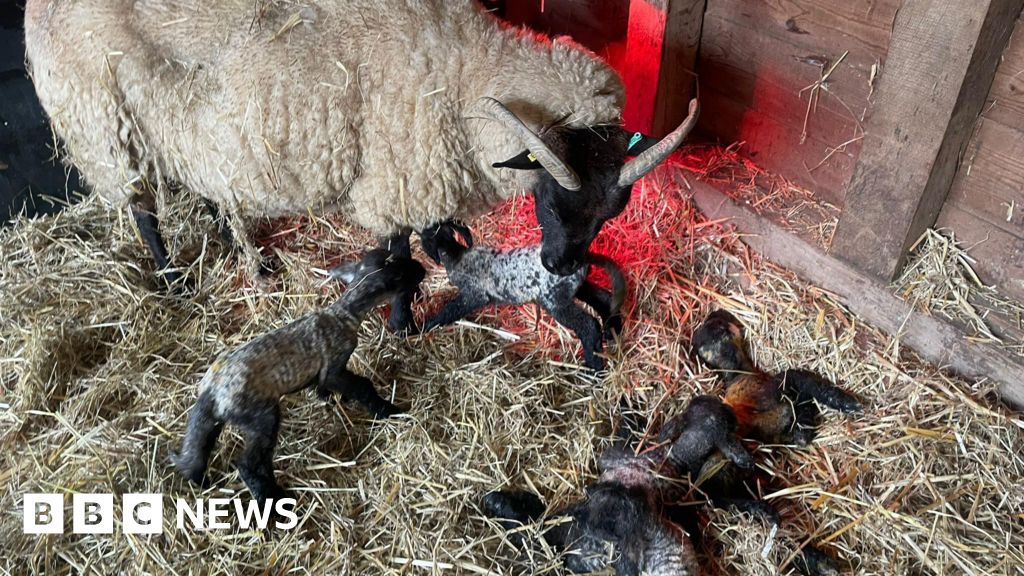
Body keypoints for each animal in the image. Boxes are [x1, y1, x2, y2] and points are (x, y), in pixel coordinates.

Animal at [24, 0, 700, 330]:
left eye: (612, 210)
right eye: (551, 197)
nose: (561, 267)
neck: (463, 70)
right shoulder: (394, 179)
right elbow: (398, 256)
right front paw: (400, 321)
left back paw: (247, 254)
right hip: (104, 119)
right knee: (141, 207)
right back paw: (171, 278)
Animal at [173, 249, 425, 502]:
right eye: (401, 272)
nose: (422, 269)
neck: (343, 314)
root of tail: (212, 389)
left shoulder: (321, 373)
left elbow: (323, 387)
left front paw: (331, 399)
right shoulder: (334, 366)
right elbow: (362, 386)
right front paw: (387, 410)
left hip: (213, 421)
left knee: (199, 448)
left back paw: (198, 478)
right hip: (260, 415)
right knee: (249, 463)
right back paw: (271, 497)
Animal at [419, 227, 625, 370]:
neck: (456, 256)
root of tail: (582, 259)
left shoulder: (474, 294)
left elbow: (450, 310)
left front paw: (426, 325)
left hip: (555, 300)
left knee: (588, 325)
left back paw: (594, 367)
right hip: (575, 288)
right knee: (605, 299)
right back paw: (612, 332)